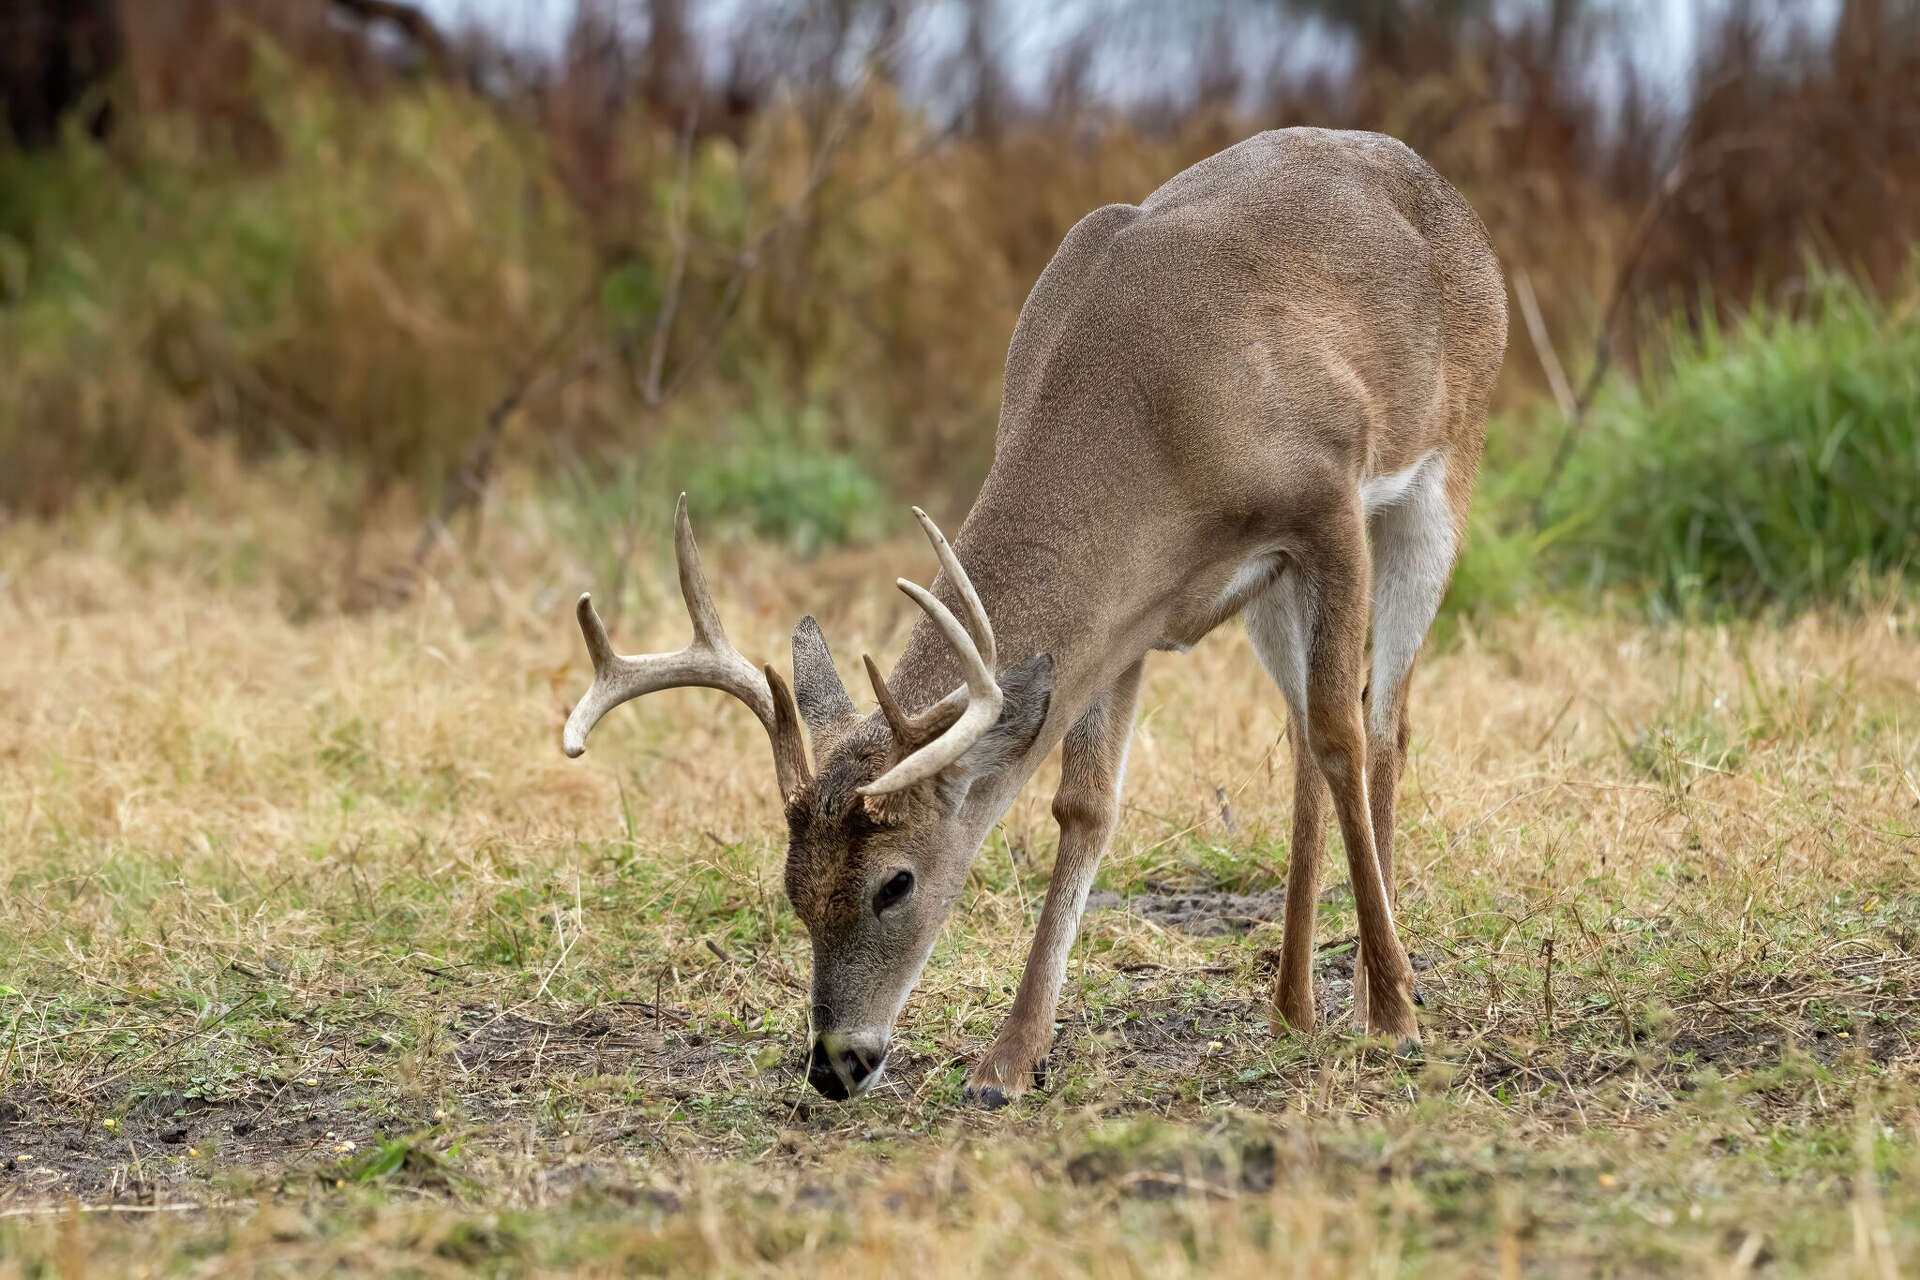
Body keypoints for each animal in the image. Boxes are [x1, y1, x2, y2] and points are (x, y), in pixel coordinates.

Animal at [561, 128, 1507, 1105]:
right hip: (1272, 593)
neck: (1158, 422)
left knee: (1381, 721)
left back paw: (1373, 993)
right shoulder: (1135, 615)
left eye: (895, 884)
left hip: (1445, 472)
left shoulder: (1328, 507)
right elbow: (1086, 804)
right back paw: (1291, 1006)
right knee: (1304, 742)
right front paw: (1008, 1059)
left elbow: (1341, 736)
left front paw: (1395, 1015)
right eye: (792, 888)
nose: (834, 1064)